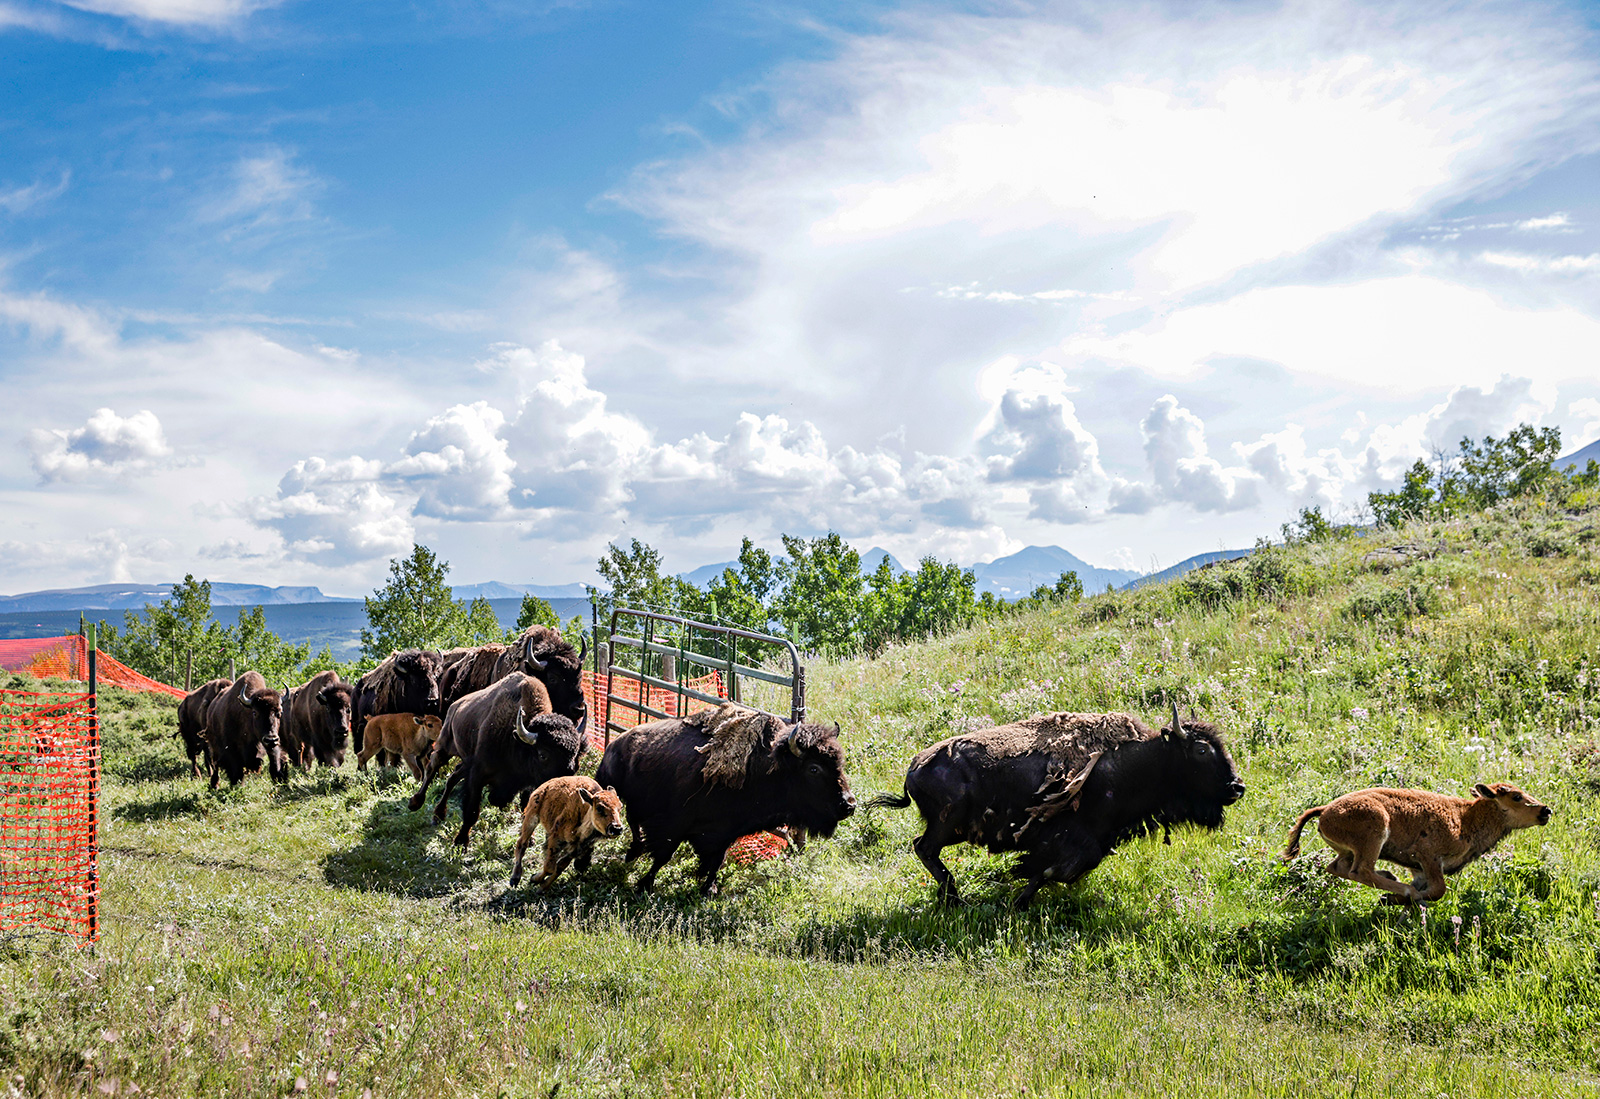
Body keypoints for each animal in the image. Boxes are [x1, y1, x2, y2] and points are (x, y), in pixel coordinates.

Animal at [407, 672, 587, 846]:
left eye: (575, 758)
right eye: (543, 754)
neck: (517, 741)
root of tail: (454, 706)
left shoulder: (528, 783)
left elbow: (526, 809)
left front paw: (529, 840)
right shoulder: (478, 774)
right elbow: (472, 810)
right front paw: (461, 842)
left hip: (466, 761)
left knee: (453, 777)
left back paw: (438, 814)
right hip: (445, 746)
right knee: (432, 768)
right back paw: (416, 804)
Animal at [595, 702, 856, 895]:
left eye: (840, 763)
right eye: (814, 768)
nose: (849, 805)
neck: (765, 767)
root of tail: (616, 743)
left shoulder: (725, 831)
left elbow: (717, 860)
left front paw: (708, 888)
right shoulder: (674, 825)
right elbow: (663, 855)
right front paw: (645, 884)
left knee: (633, 820)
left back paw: (634, 851)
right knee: (631, 821)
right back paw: (633, 853)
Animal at [872, 703, 1244, 908]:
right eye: (1201, 750)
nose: (1237, 787)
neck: (1143, 759)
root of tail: (915, 767)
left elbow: (1054, 869)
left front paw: (1020, 894)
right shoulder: (1074, 836)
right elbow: (1057, 868)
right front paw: (1018, 890)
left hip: (951, 829)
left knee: (923, 848)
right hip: (948, 825)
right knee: (925, 848)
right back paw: (955, 899)